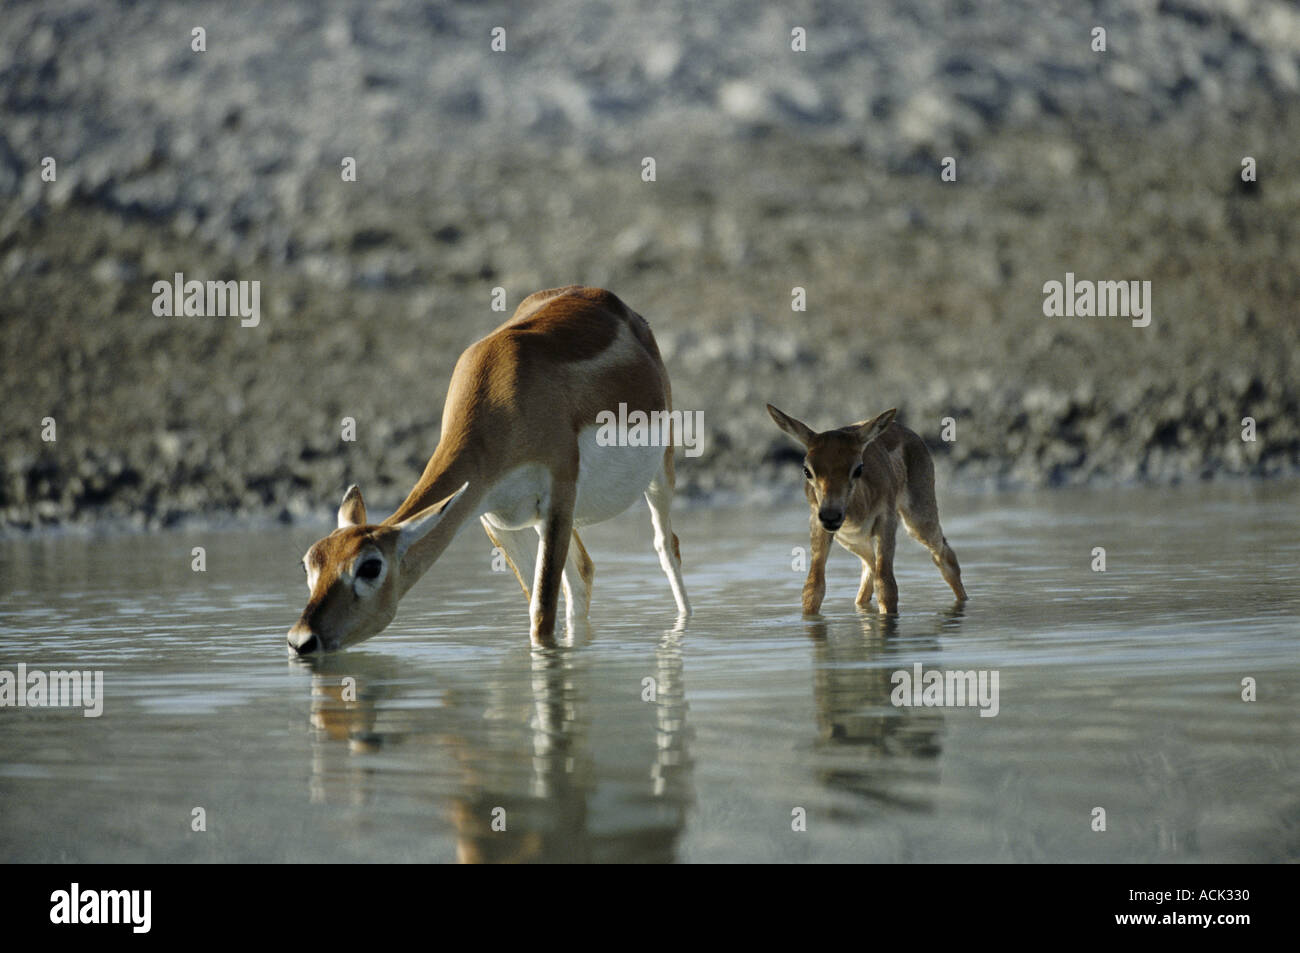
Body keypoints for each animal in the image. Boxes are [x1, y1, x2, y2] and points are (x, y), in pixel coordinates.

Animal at [288, 286, 691, 653]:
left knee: (666, 545)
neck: (503, 395)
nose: (300, 640)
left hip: (659, 474)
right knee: (583, 574)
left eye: (370, 566)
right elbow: (538, 605)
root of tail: (617, 305)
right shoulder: (493, 517)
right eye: (308, 564)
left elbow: (541, 617)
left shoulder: (559, 498)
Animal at [767, 404, 967, 615]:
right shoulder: (819, 525)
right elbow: (813, 588)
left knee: (945, 556)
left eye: (858, 468)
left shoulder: (886, 523)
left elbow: (887, 586)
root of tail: (906, 430)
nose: (831, 515)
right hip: (855, 542)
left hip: (919, 520)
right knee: (869, 569)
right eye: (807, 470)